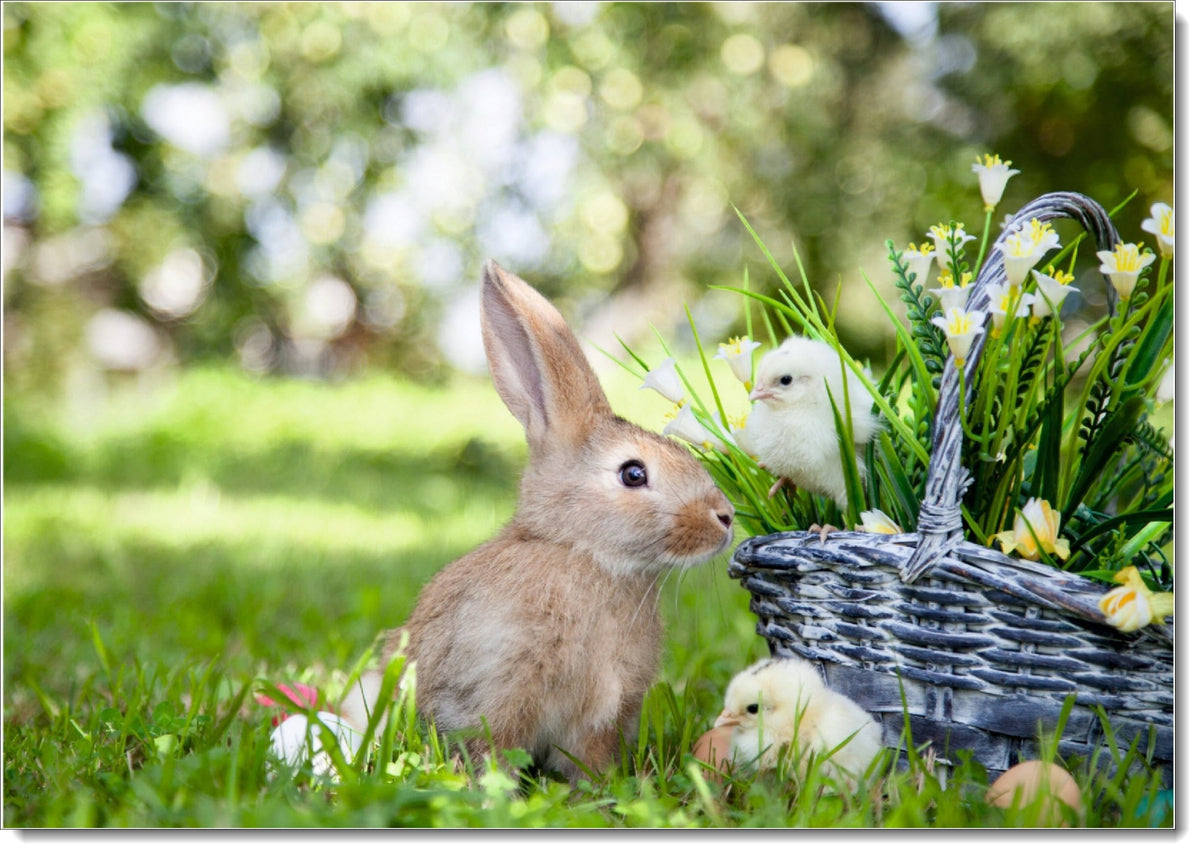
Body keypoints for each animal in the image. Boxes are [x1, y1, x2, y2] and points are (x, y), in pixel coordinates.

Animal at [341, 261, 735, 782]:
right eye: (633, 473)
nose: (726, 517)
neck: (582, 554)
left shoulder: (600, 719)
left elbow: (589, 761)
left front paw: (598, 791)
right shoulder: (499, 692)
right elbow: (494, 750)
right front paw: (495, 790)